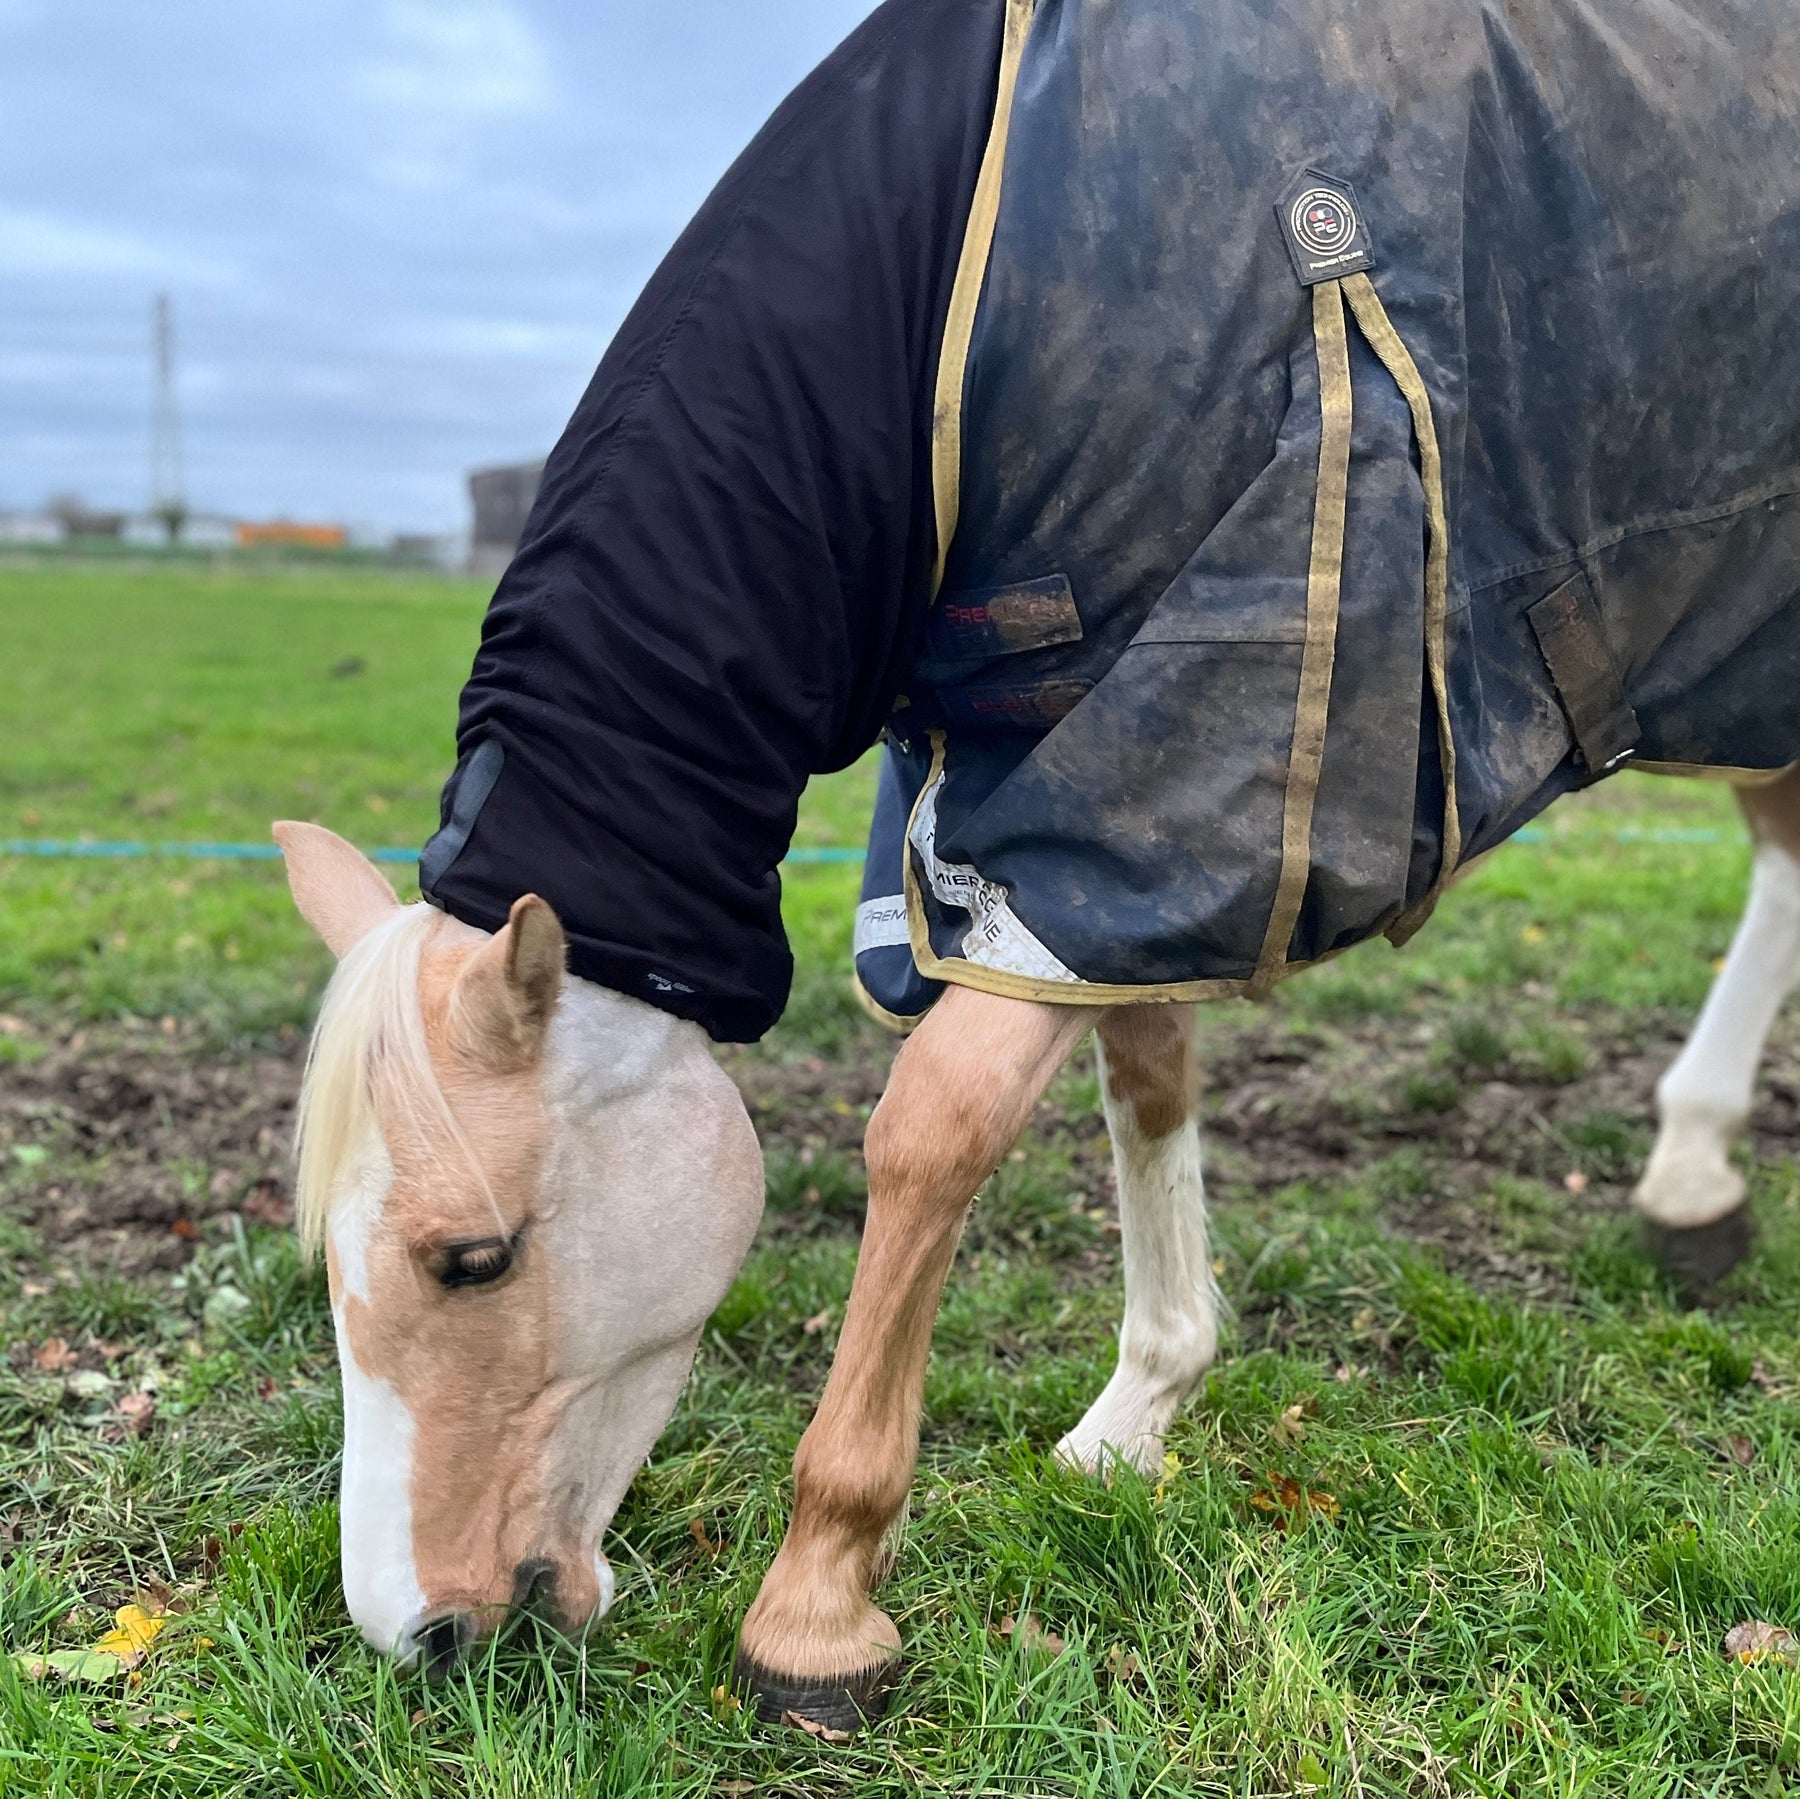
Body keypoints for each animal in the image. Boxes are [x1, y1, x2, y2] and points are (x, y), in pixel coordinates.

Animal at [276, 0, 1800, 1732]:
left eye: (470, 1258)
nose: (414, 1630)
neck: (960, 267)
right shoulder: (1107, 802)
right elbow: (1144, 1072)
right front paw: (1140, 1409)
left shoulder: (1176, 754)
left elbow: (934, 1127)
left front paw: (816, 1599)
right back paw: (1693, 1174)